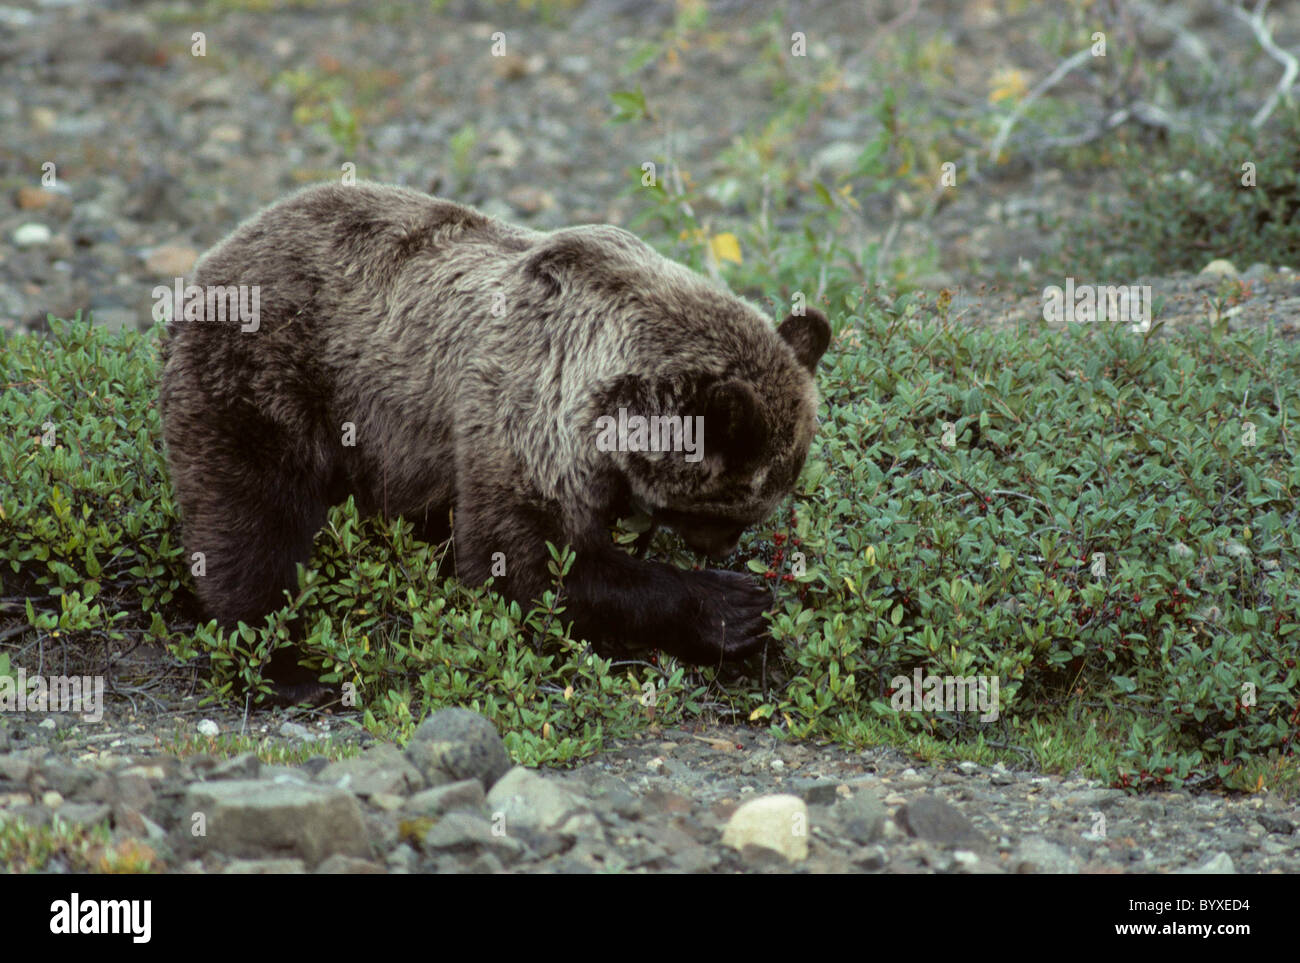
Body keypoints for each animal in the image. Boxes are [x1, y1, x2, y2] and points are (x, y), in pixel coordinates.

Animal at [158, 181, 830, 671]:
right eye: (731, 510)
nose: (721, 546)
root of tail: (216, 257)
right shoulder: (520, 421)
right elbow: (520, 567)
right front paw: (731, 607)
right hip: (270, 377)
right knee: (253, 521)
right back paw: (281, 661)